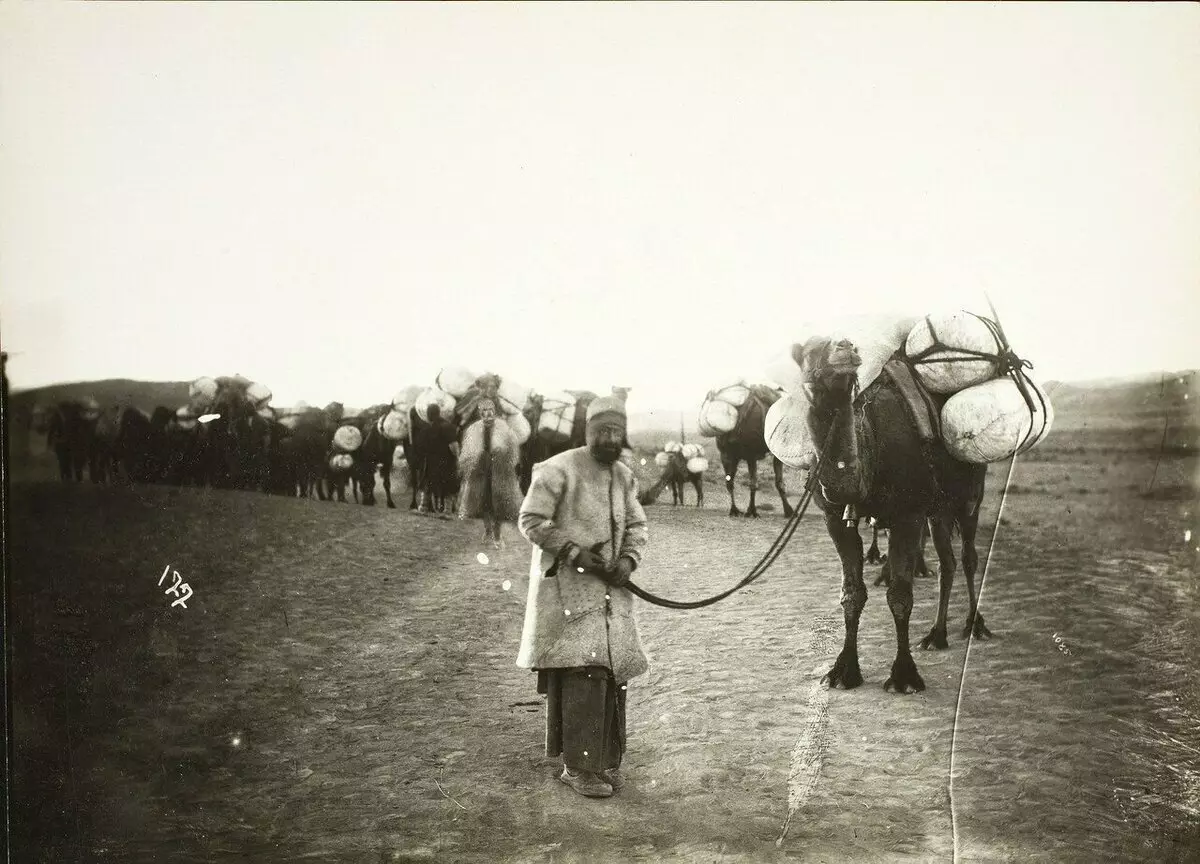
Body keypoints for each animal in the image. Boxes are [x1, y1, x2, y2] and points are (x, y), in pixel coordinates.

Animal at [796, 338, 993, 696]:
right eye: (809, 352)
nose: (844, 348)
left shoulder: (908, 514)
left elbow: (900, 595)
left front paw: (904, 676)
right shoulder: (834, 518)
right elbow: (851, 594)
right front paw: (843, 671)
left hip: (970, 494)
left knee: (968, 557)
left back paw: (975, 625)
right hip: (938, 509)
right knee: (947, 563)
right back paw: (936, 635)